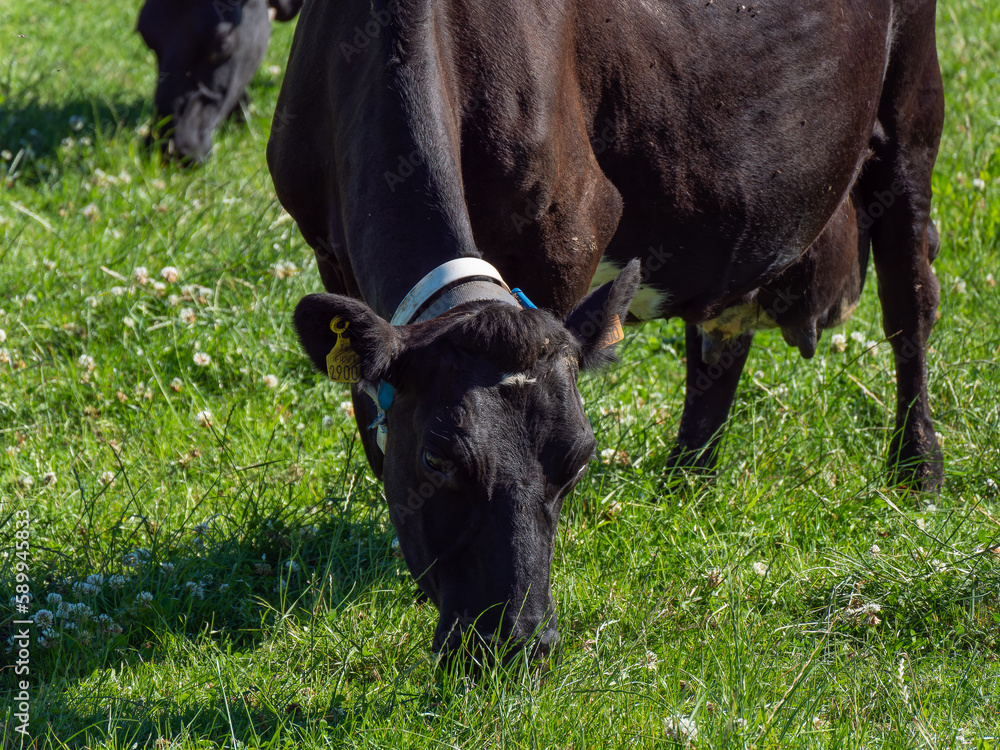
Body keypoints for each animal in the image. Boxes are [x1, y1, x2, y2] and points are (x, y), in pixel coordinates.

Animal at [268, 0, 944, 663]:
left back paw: (918, 470)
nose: (516, 645)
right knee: (720, 340)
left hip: (910, 106)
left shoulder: (566, 234)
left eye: (579, 460)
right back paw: (687, 479)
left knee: (910, 305)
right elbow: (373, 426)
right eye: (437, 457)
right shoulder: (329, 250)